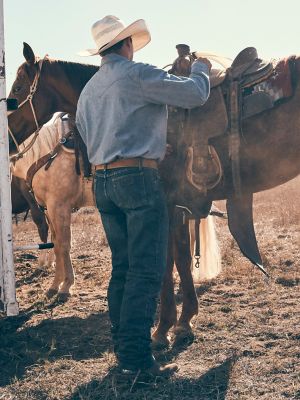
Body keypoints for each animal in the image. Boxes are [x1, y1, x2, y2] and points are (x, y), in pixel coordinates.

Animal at [7, 43, 300, 348]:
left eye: (17, 88)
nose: (7, 138)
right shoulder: (175, 207)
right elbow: (180, 259)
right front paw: (184, 321)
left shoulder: (157, 207)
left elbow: (164, 262)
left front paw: (164, 328)